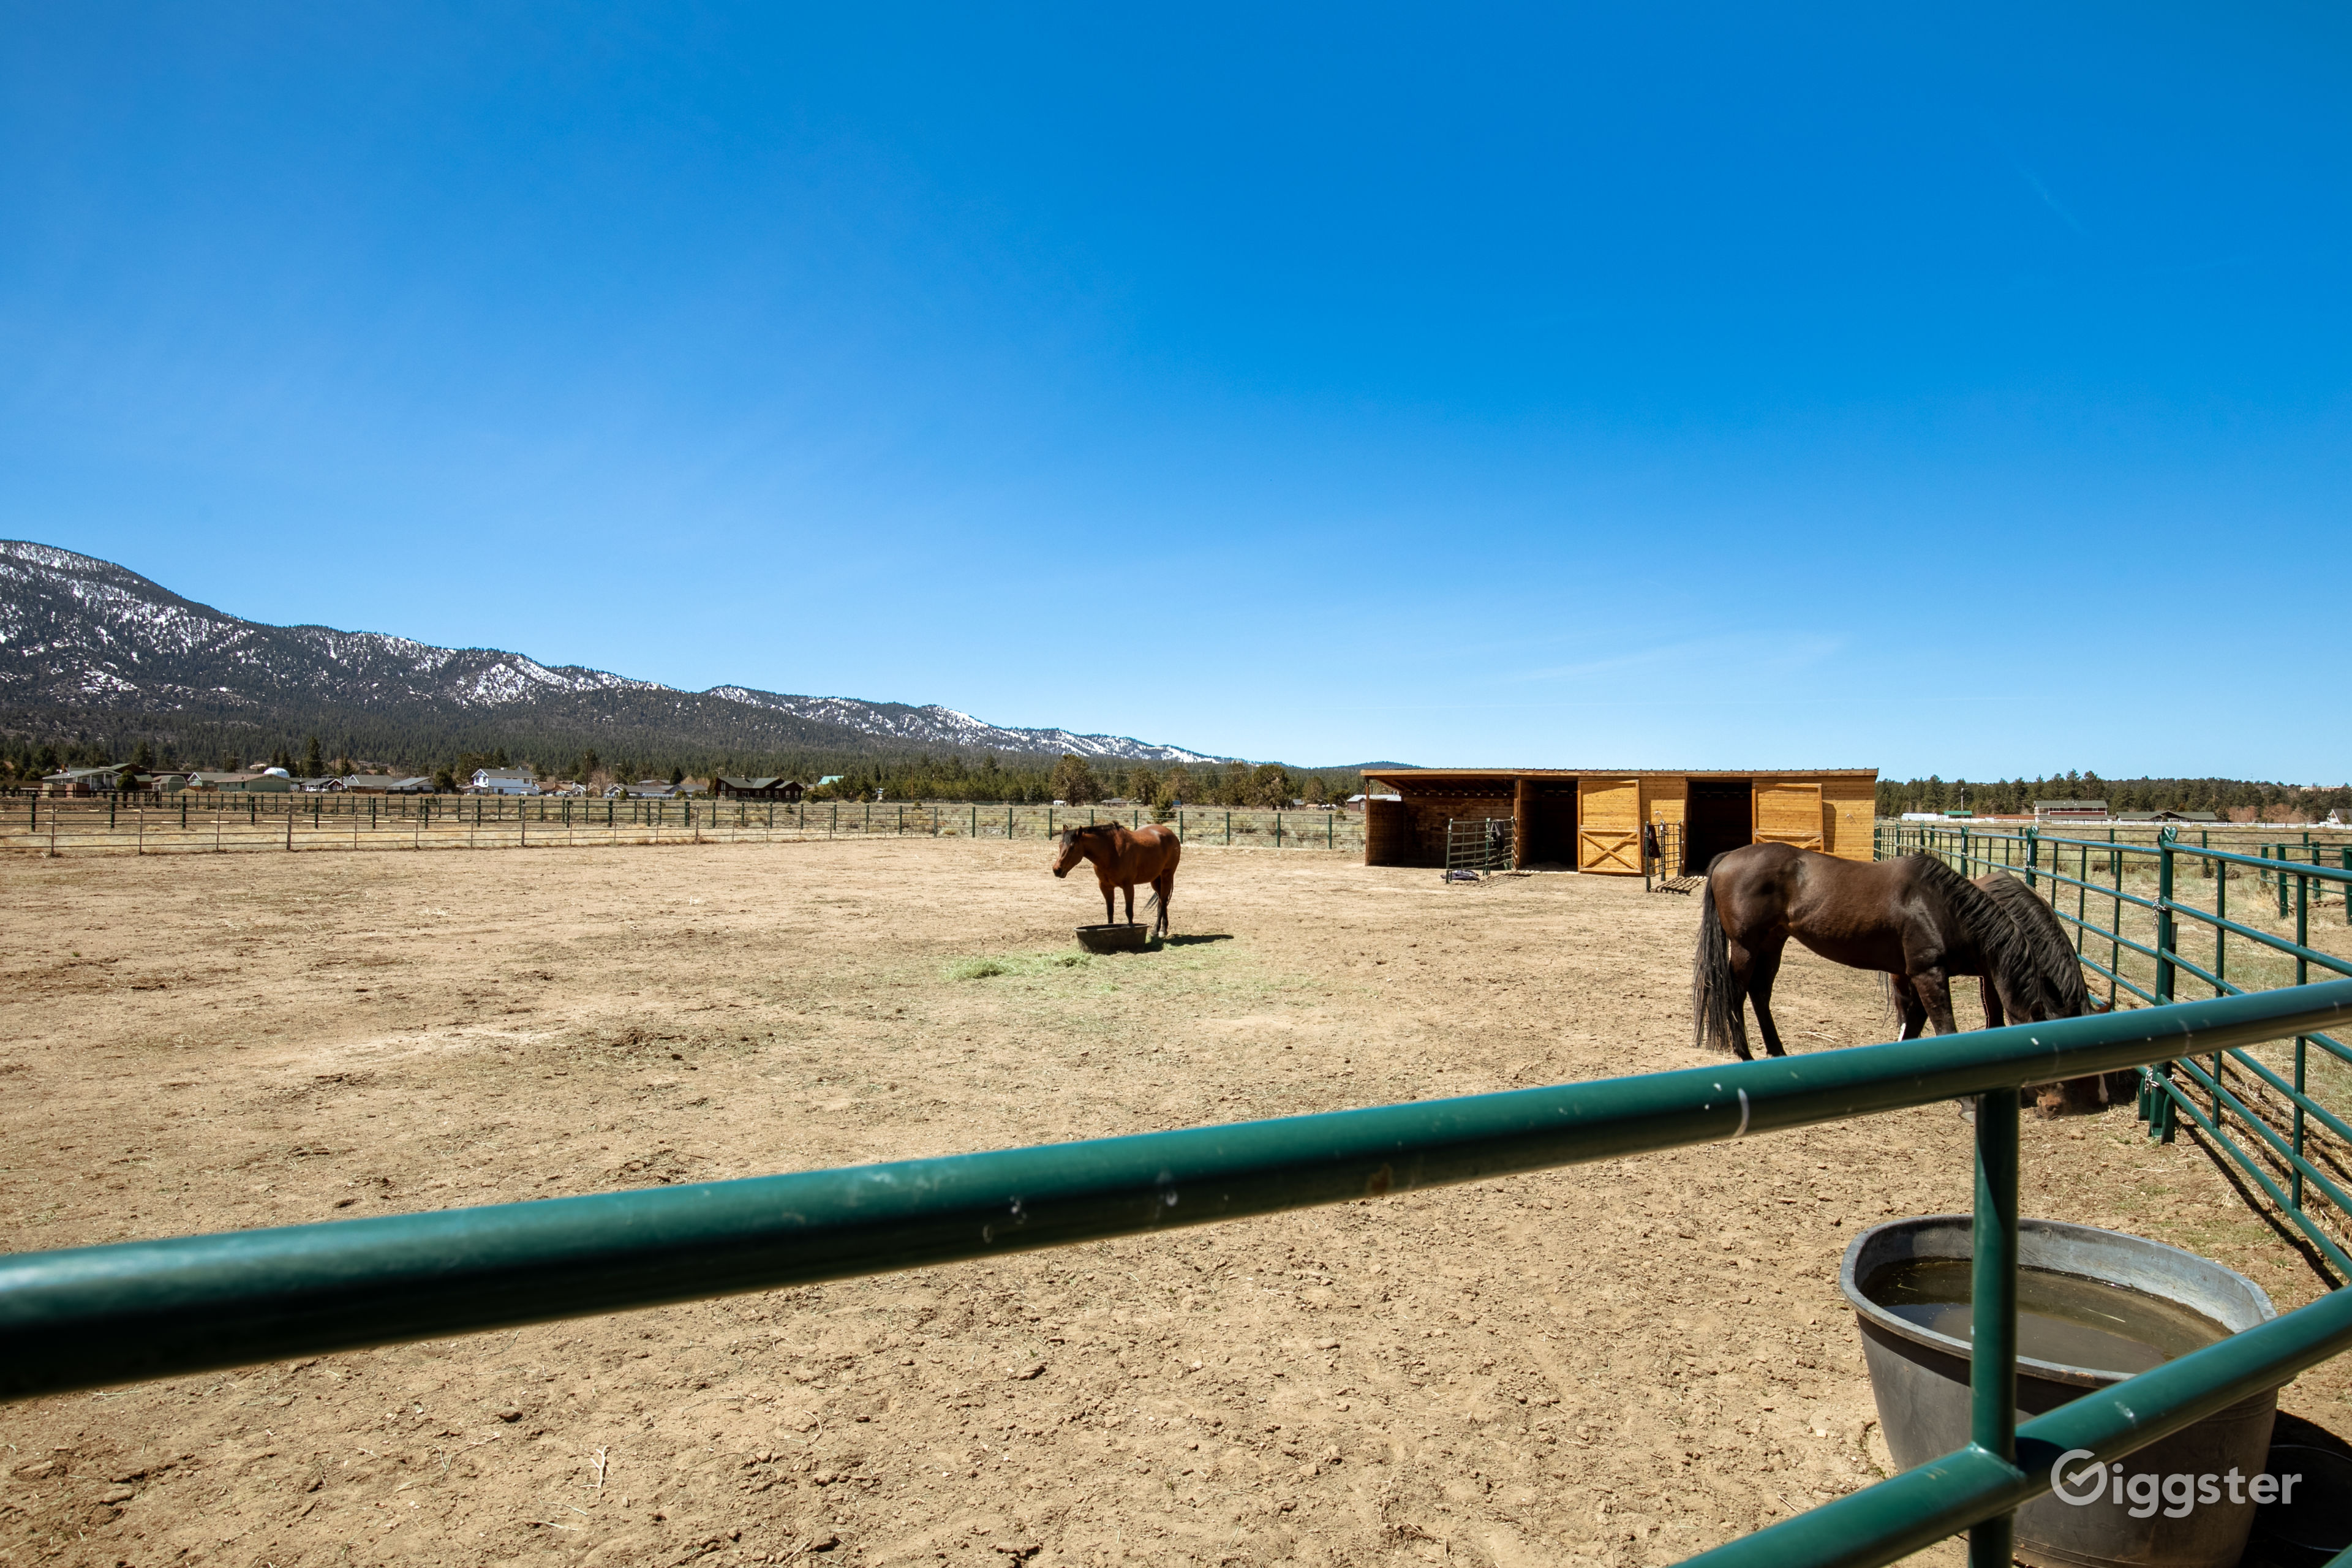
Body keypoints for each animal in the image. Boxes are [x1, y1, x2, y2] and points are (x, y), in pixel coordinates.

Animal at [1051, 821, 1182, 937]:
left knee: (1163, 901)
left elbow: (1129, 911)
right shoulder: (1105, 887)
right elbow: (1110, 911)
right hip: (1155, 880)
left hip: (1166, 876)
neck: (1111, 852)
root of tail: (1171, 834)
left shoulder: (1128, 886)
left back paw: (1161, 930)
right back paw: (1159, 929)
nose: (1057, 870)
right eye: (1060, 845)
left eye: (1072, 847)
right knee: (1161, 901)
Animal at [1692, 845, 2065, 1061]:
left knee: (1759, 993)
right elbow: (1943, 1025)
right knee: (1736, 993)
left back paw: (1776, 1050)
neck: (1942, 907)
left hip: (1773, 943)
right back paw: (1745, 1054)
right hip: (1746, 946)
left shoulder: (1919, 974)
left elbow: (1914, 1023)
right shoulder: (1928, 972)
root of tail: (1729, 857)